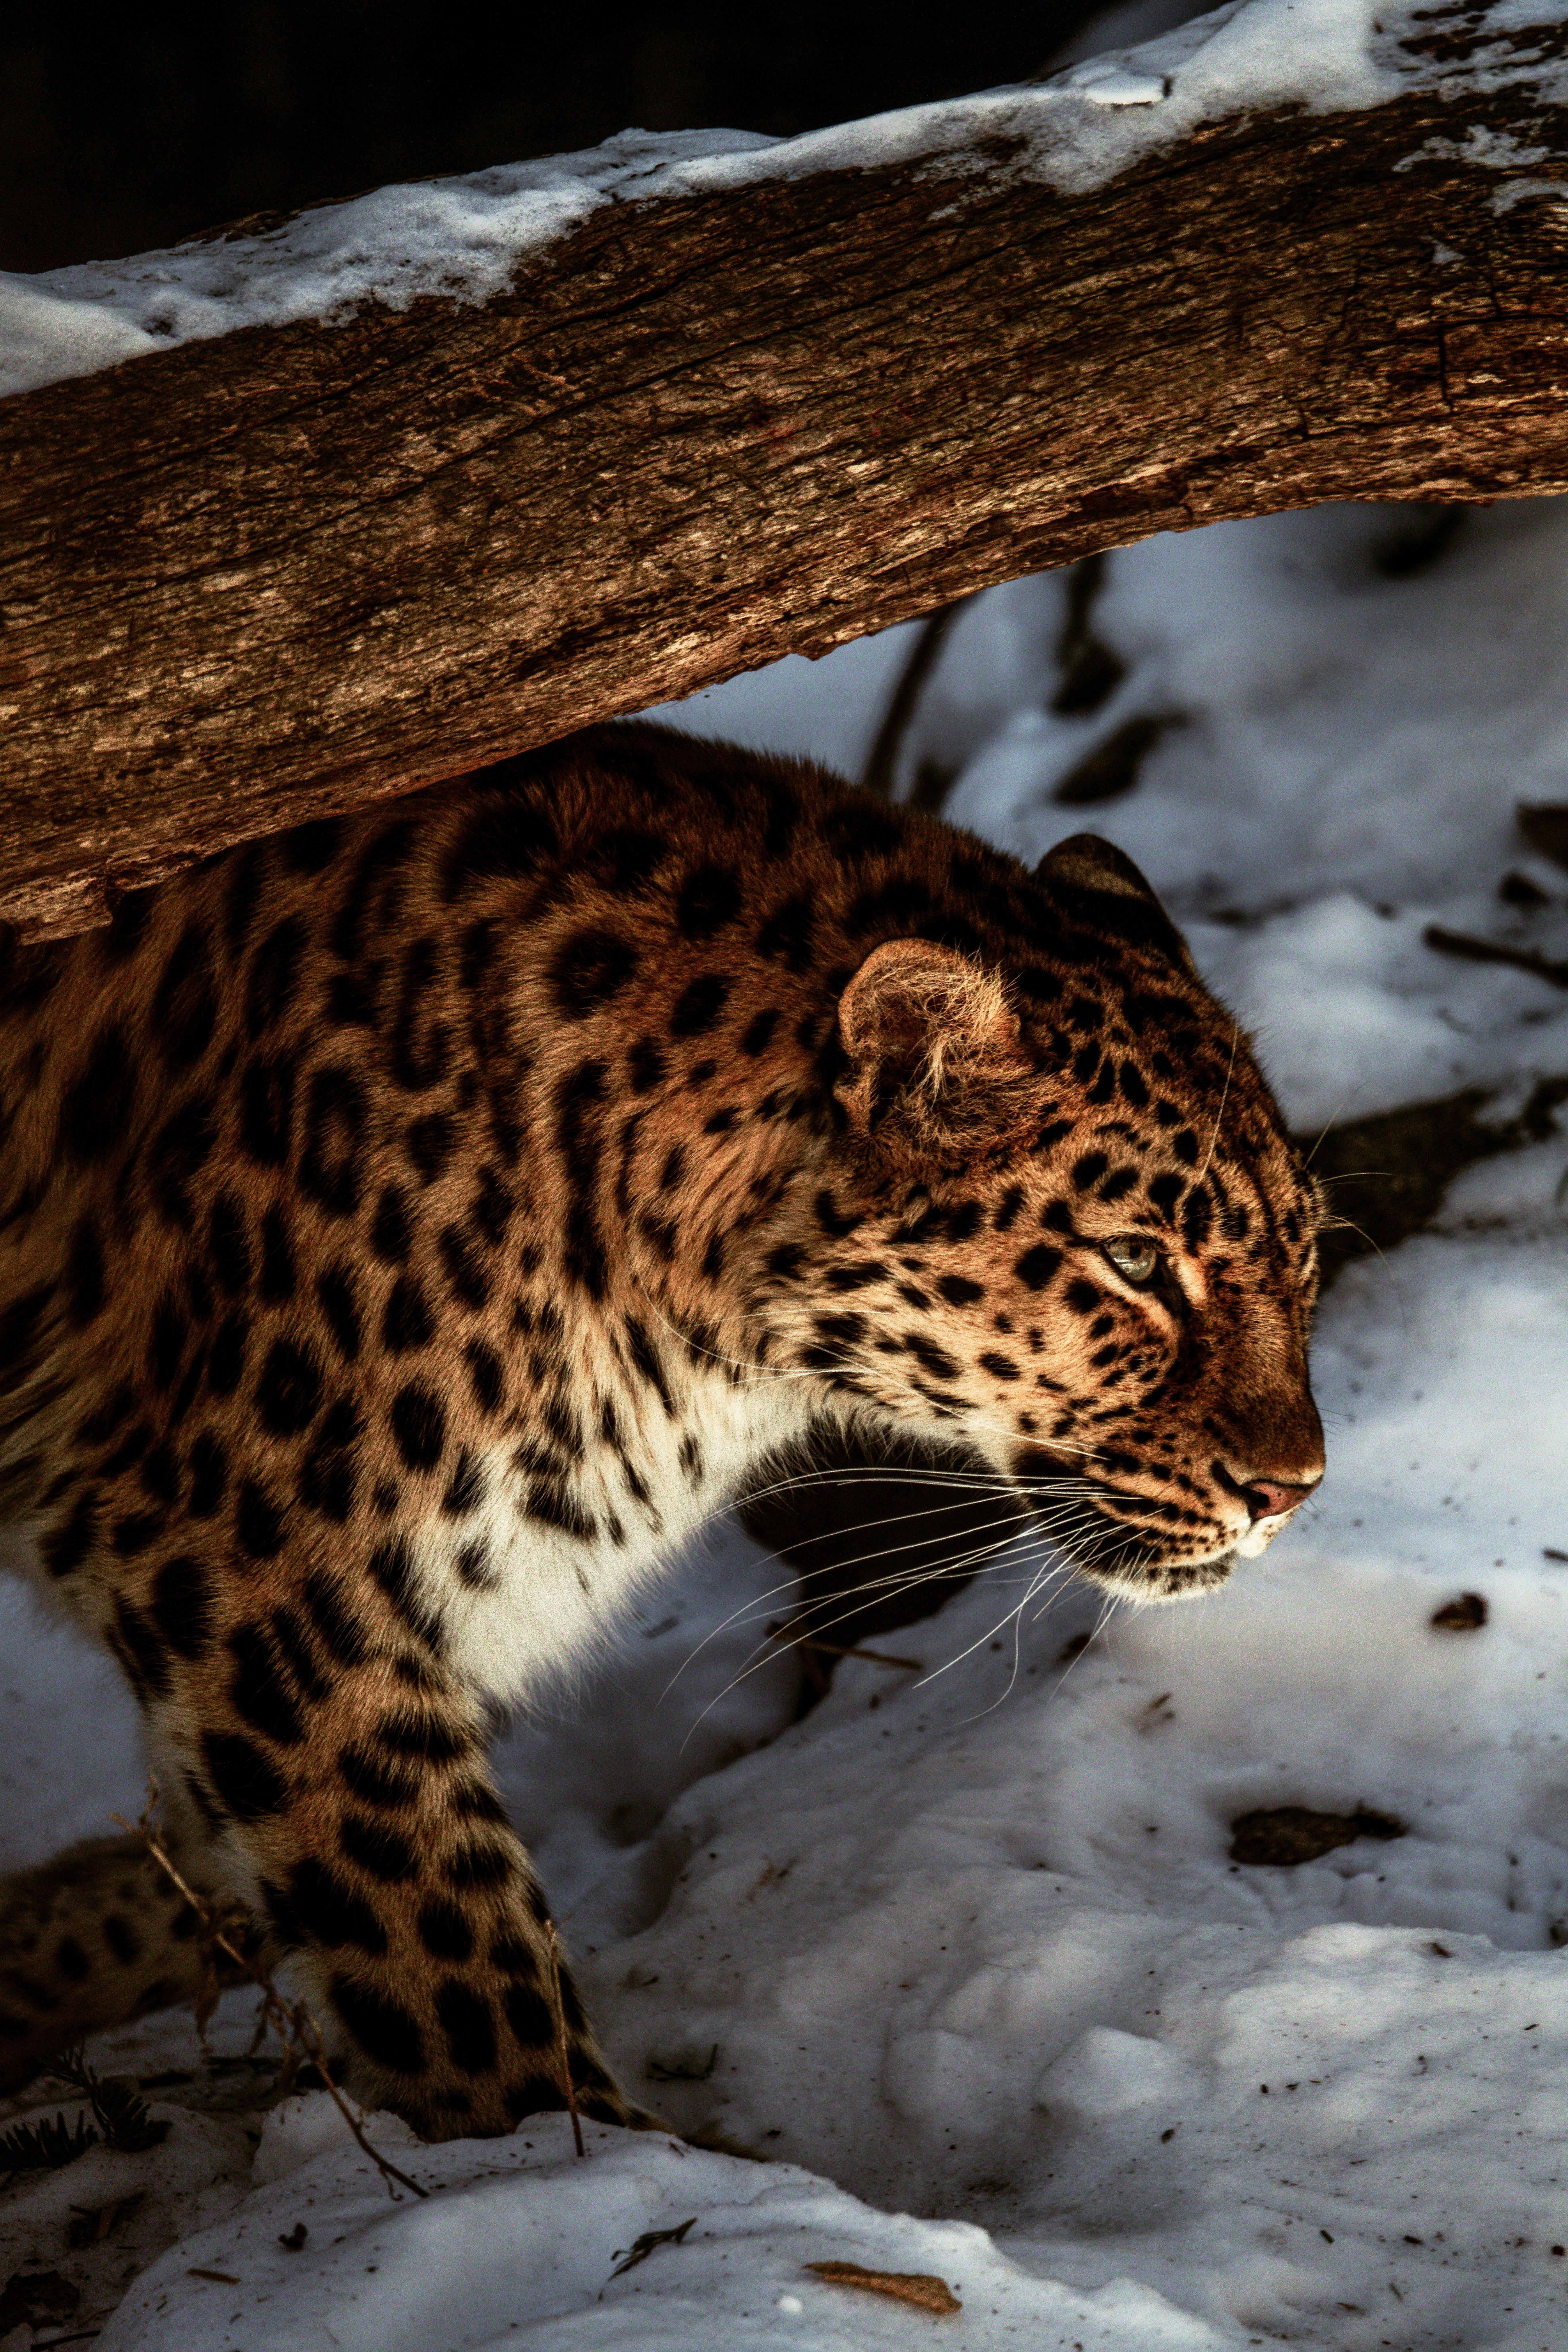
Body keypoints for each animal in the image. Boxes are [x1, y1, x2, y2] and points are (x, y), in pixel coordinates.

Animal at [0, 718, 1325, 2143]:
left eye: (1304, 1256)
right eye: (1136, 1261)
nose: (1294, 1488)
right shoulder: (266, 1579)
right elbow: (450, 1961)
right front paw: (583, 2155)